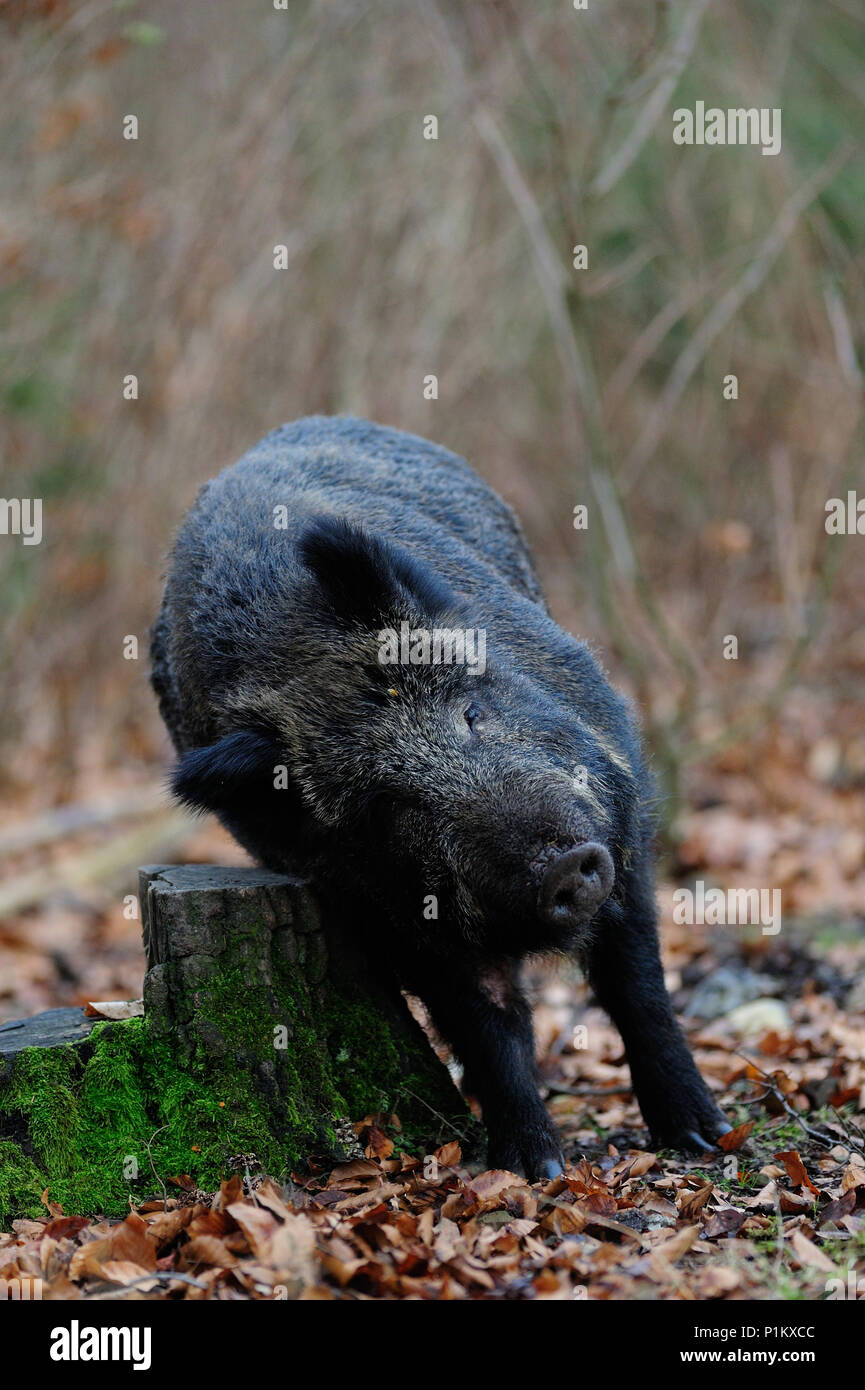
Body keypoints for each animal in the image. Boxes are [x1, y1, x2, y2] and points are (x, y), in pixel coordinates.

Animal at [150, 415, 730, 1179]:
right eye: (392, 805)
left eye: (471, 713)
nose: (560, 865)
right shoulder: (402, 925)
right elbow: (488, 1026)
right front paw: (532, 1169)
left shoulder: (622, 826)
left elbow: (637, 987)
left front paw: (703, 1137)